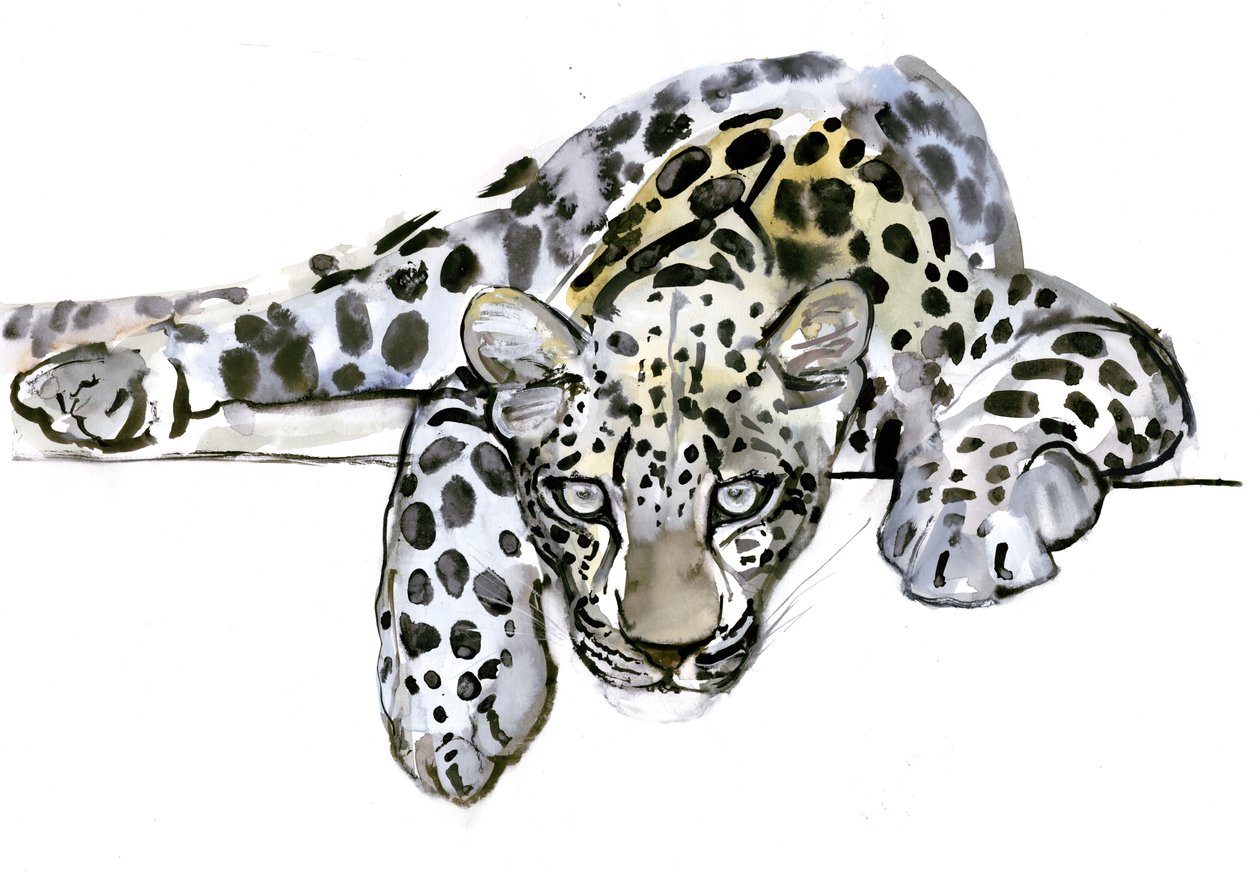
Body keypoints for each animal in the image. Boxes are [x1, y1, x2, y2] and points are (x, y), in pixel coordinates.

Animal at [3, 52, 1193, 803]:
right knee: (276, 318)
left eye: (742, 498)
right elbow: (444, 499)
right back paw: (97, 377)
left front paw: (955, 527)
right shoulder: (476, 377)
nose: (664, 654)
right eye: (582, 499)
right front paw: (453, 704)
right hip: (452, 270)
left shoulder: (1098, 330)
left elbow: (1018, 388)